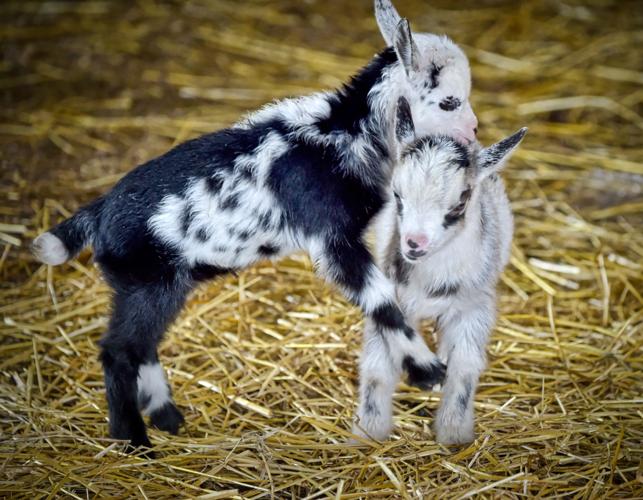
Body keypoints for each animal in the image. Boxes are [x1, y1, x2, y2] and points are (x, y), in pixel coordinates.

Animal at [32, 0, 478, 451]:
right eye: (449, 102)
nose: (474, 131)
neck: (345, 134)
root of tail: (100, 211)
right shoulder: (331, 238)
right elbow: (382, 299)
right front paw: (427, 371)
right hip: (146, 283)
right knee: (119, 351)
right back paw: (134, 441)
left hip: (155, 286)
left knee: (142, 346)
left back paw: (167, 417)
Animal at [353, 96, 525, 444]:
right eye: (397, 194)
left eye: (460, 202)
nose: (413, 244)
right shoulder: (390, 302)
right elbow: (377, 368)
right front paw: (368, 432)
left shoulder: (474, 306)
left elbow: (465, 368)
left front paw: (454, 434)